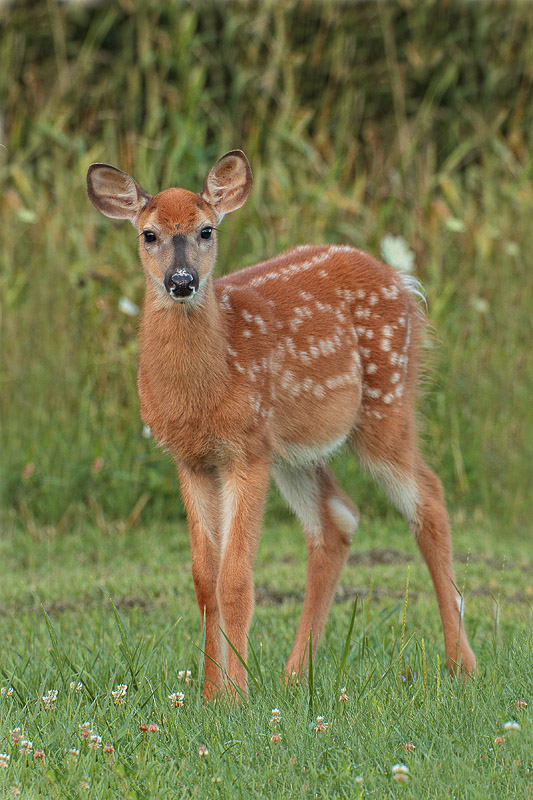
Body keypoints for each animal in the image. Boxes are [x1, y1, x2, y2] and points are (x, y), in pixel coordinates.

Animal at [86, 150, 477, 699]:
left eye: (206, 230)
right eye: (149, 234)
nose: (181, 282)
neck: (207, 384)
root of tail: (403, 282)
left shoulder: (246, 447)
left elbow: (235, 578)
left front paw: (235, 696)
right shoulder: (191, 459)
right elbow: (204, 580)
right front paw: (209, 694)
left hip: (386, 404)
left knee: (430, 499)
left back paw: (462, 664)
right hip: (295, 449)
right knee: (338, 518)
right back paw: (295, 676)